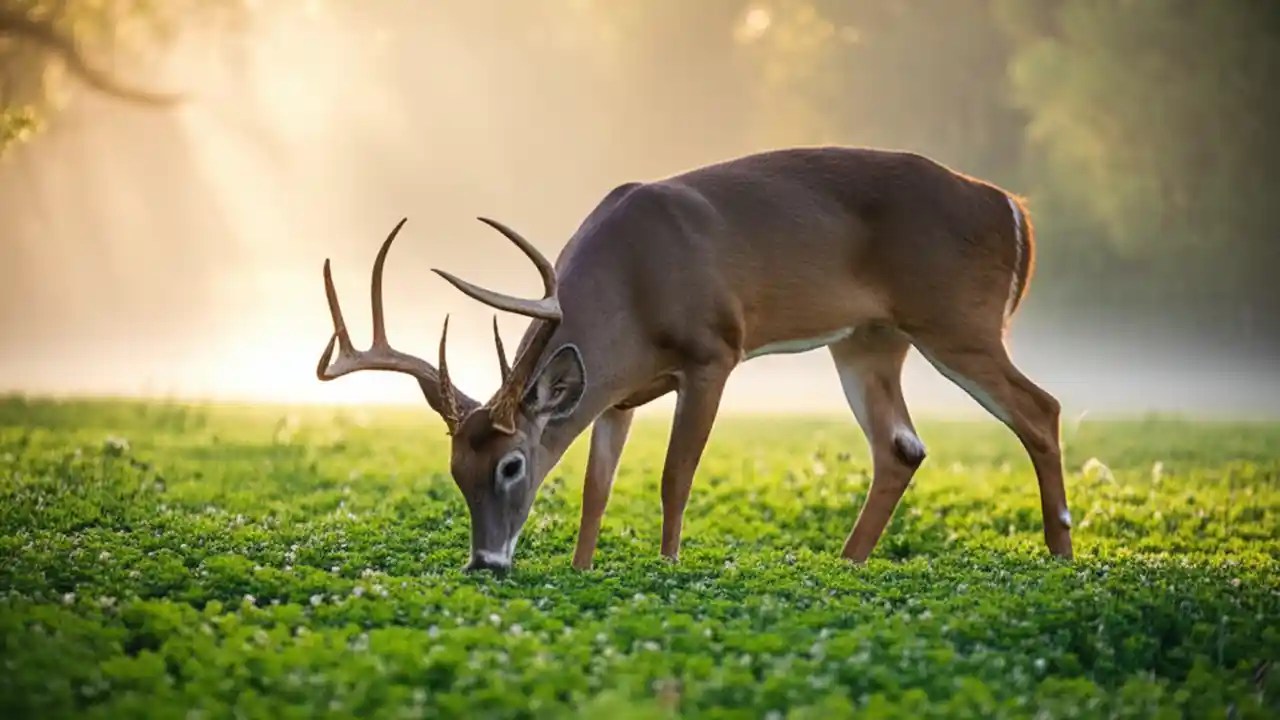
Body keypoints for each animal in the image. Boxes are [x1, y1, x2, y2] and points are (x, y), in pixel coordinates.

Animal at [316, 147, 1074, 573]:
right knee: (902, 447)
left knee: (1041, 408)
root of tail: (1015, 209)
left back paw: (1061, 558)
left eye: (511, 465)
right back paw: (846, 568)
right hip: (867, 339)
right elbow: (596, 488)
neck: (632, 287)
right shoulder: (616, 394)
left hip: (956, 321)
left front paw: (669, 568)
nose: (486, 563)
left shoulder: (714, 353)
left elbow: (675, 478)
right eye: (455, 471)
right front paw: (581, 570)